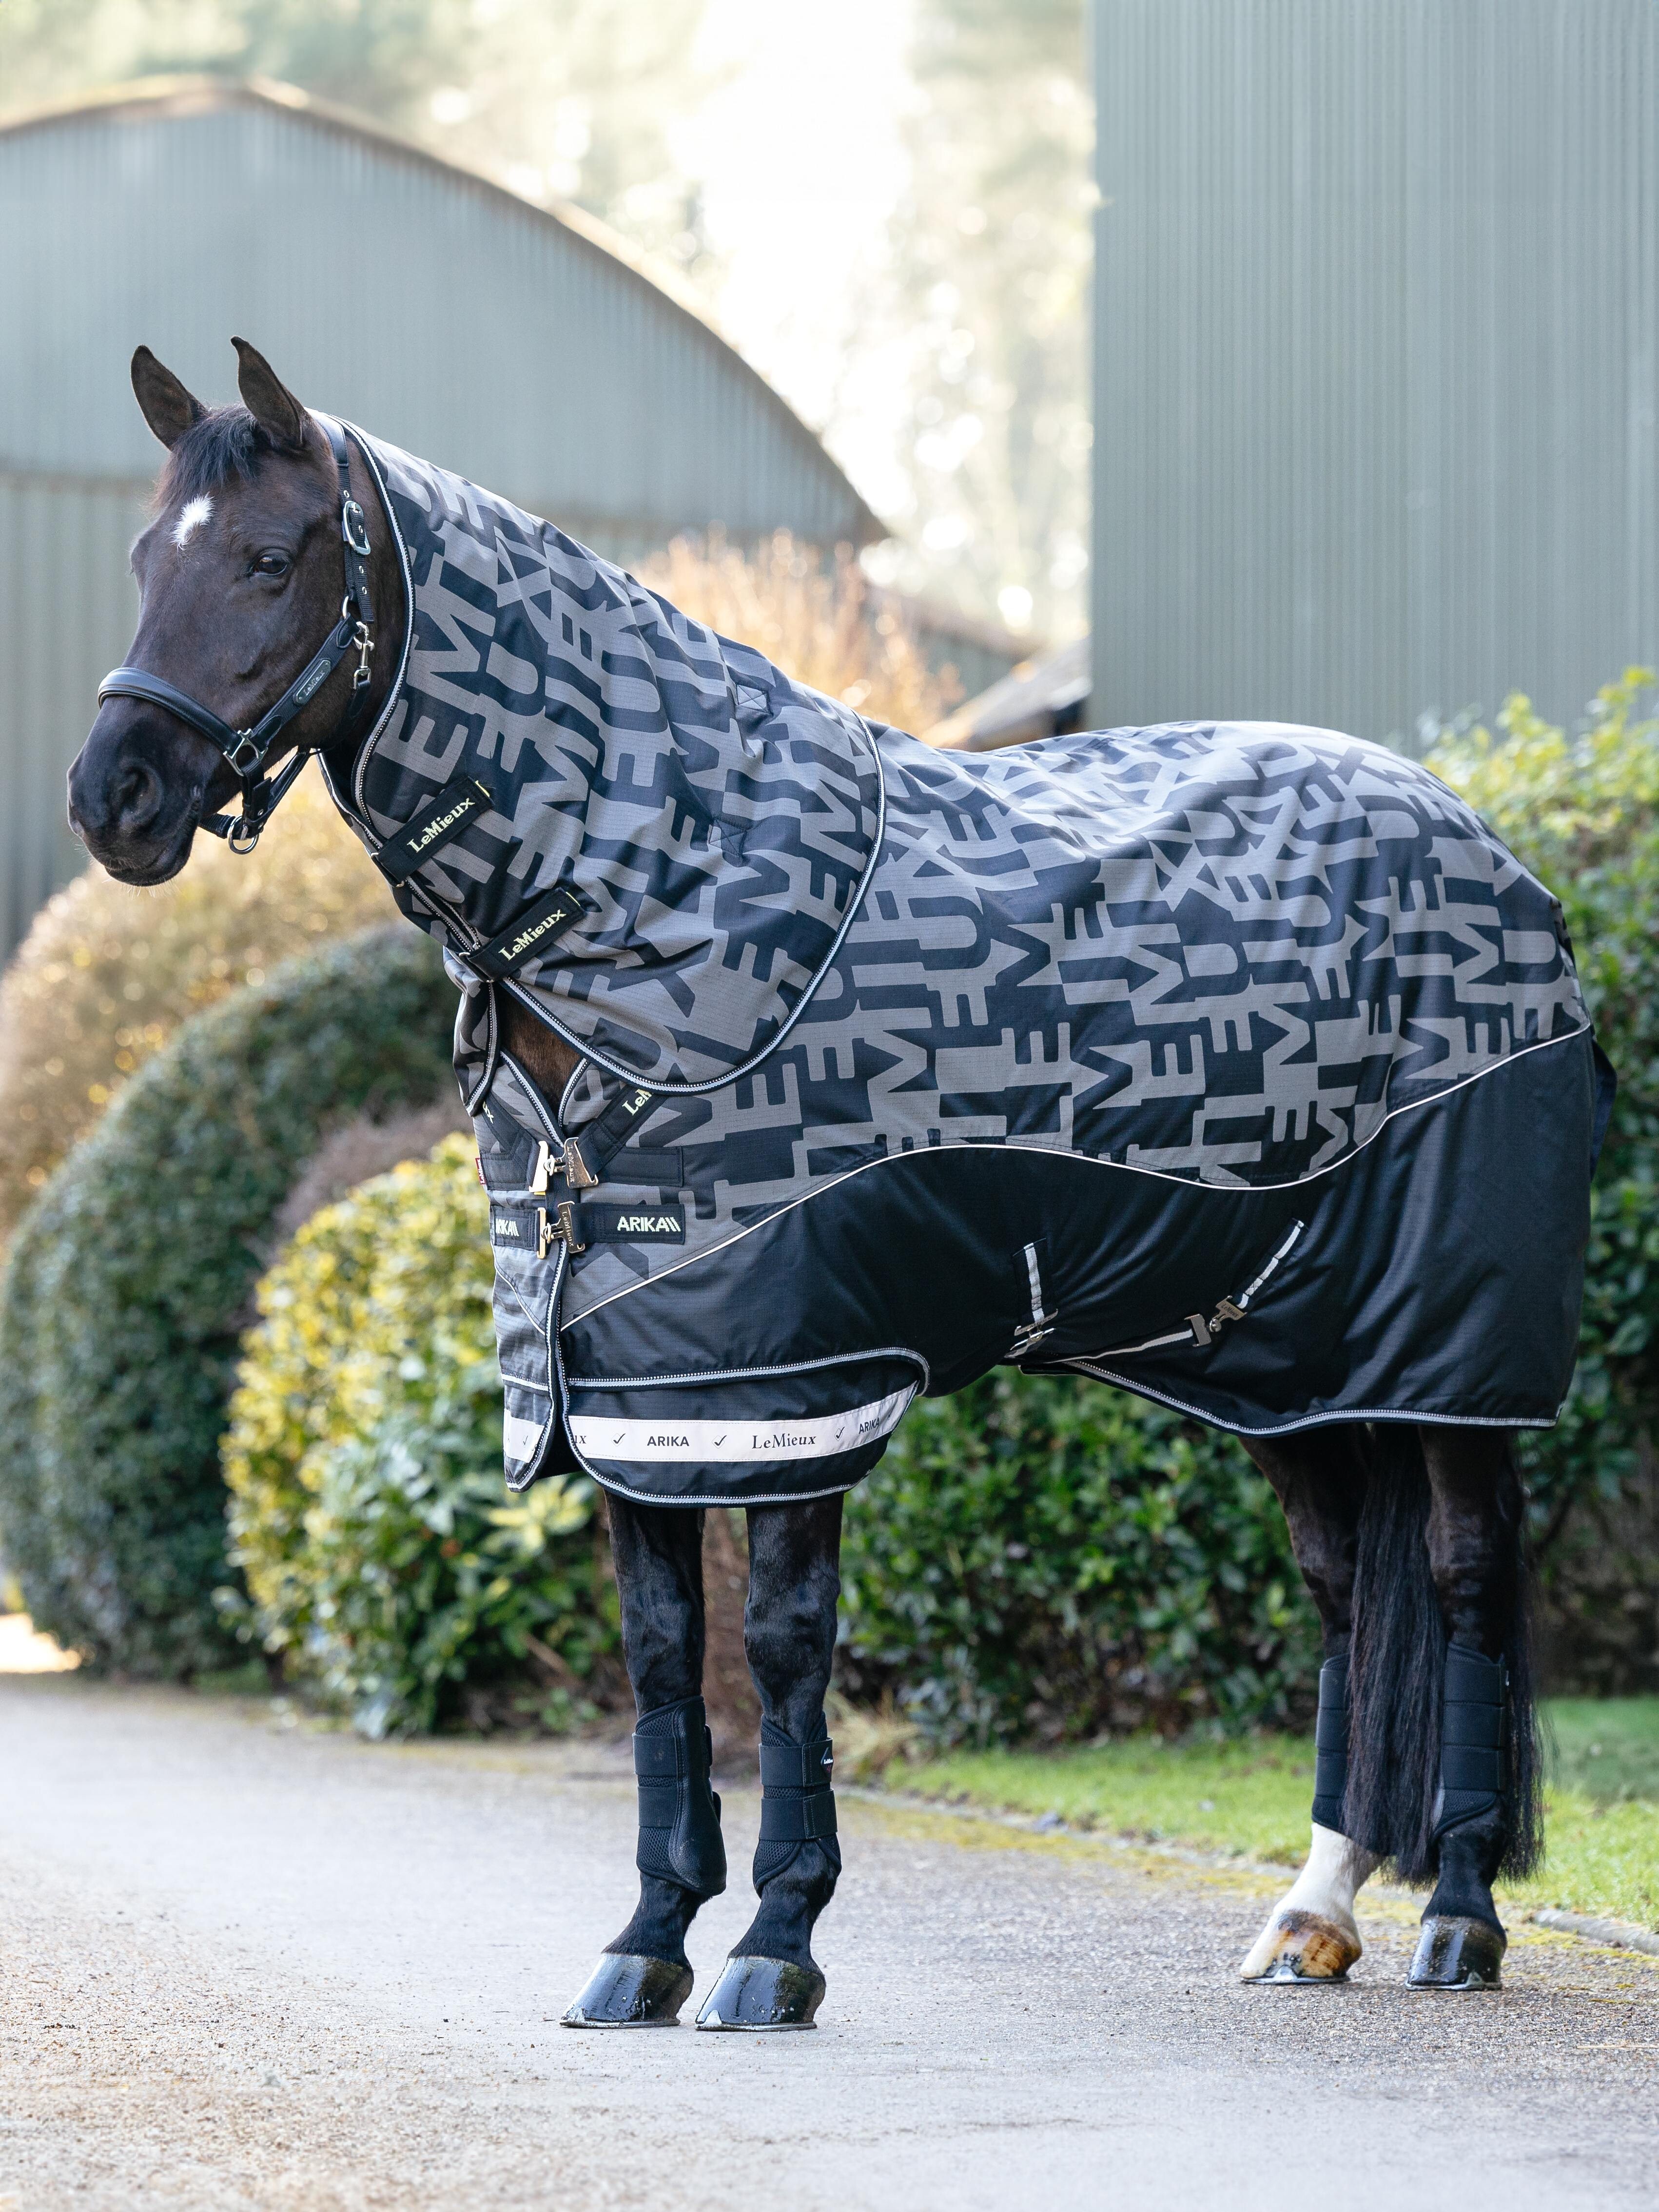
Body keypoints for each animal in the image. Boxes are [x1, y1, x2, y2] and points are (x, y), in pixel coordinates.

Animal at [68, 340, 1604, 2029]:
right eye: (143, 558)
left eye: (270, 559)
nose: (112, 798)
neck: (680, 908)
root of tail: (1490, 856)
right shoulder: (639, 1397)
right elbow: (663, 1655)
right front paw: (645, 1942)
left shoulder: (794, 1377)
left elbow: (783, 1646)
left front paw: (772, 1946)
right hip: (1290, 1362)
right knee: (1342, 1591)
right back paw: (1311, 1912)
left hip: (1451, 1357)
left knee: (1463, 1585)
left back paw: (1456, 1916)